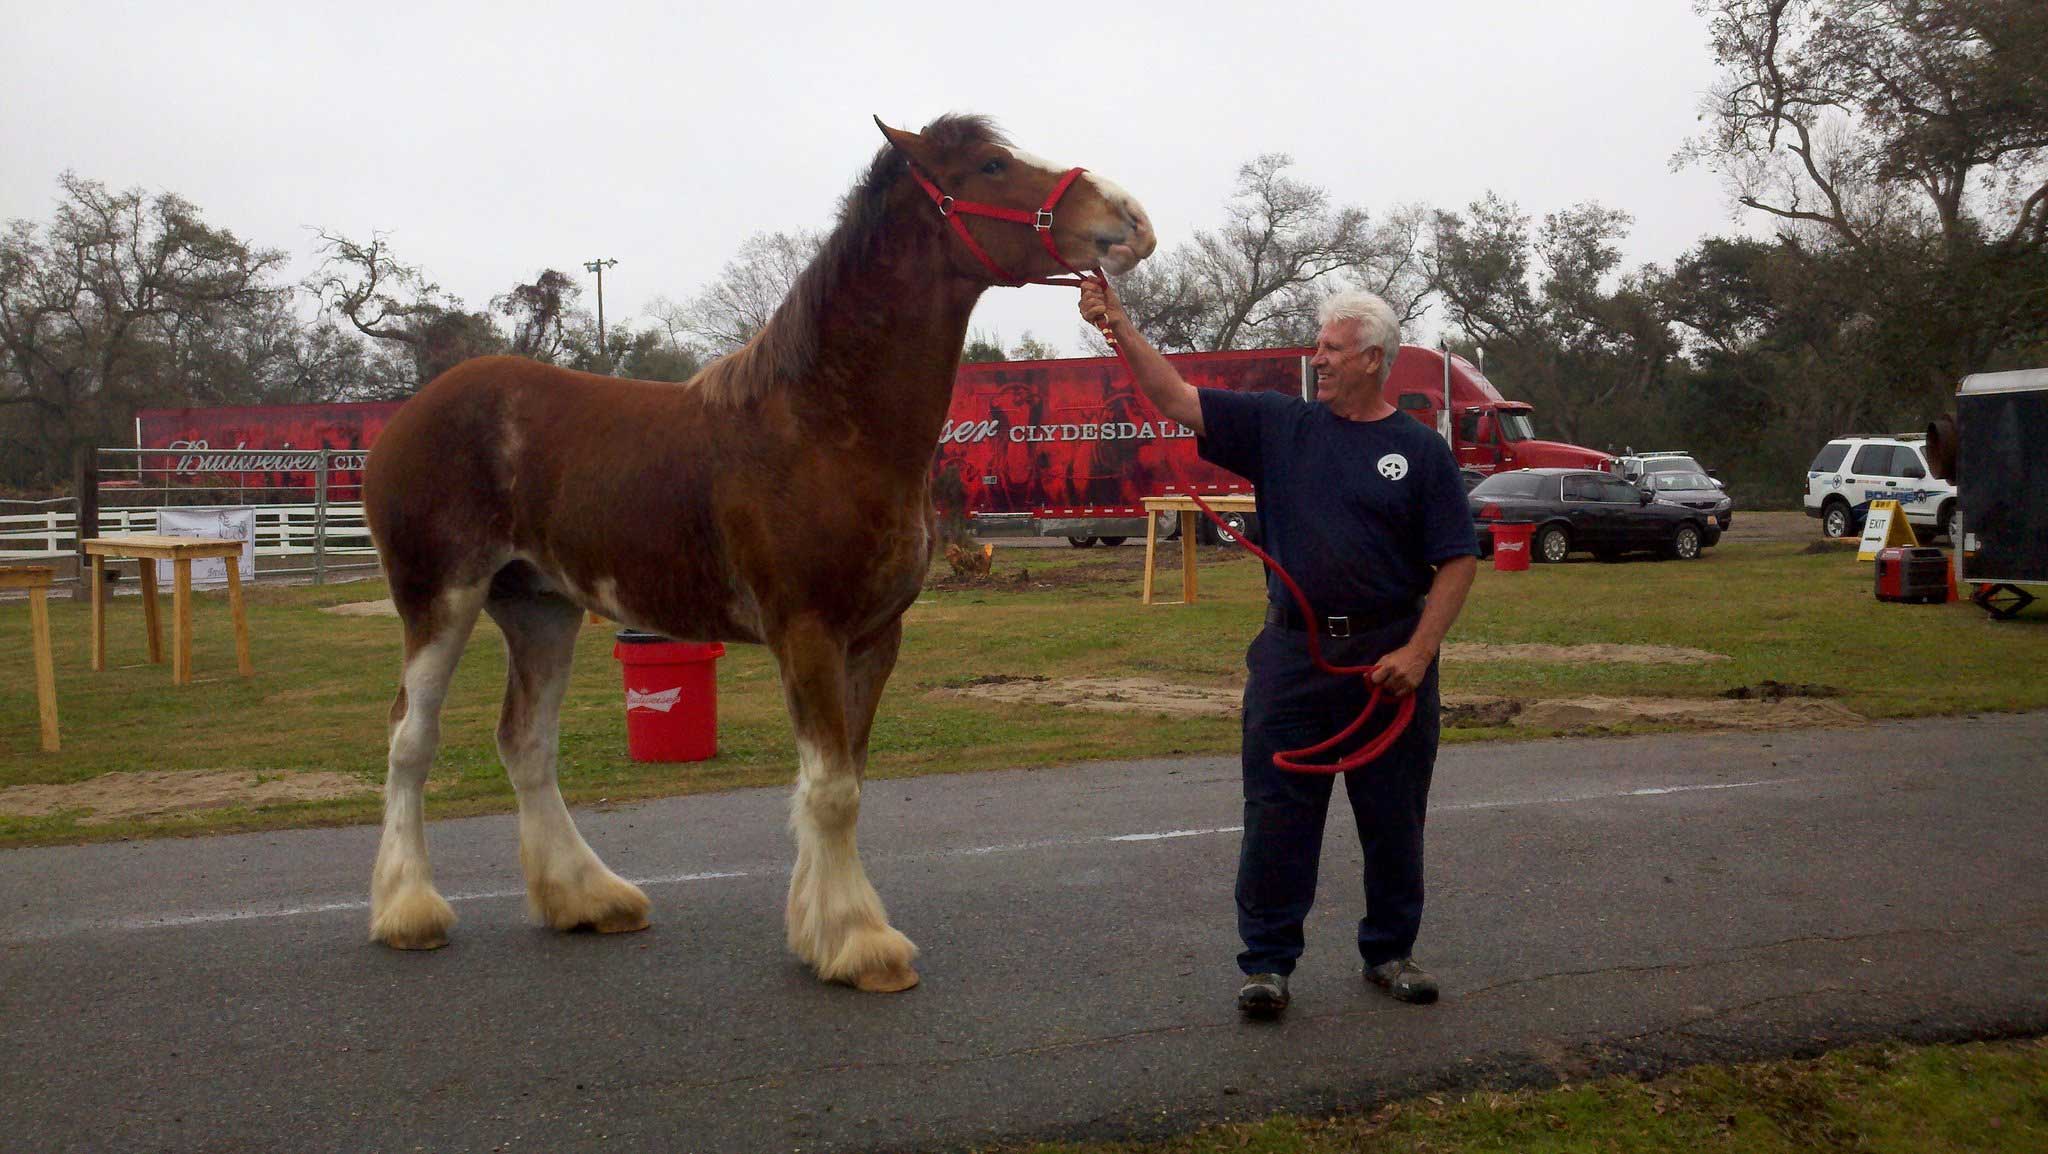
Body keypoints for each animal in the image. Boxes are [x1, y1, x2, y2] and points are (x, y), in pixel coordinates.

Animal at [361, 114, 1155, 992]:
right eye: (990, 165)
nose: (1130, 219)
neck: (824, 425)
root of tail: (411, 414)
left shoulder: (873, 637)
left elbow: (845, 777)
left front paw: (819, 929)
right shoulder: (805, 630)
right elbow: (833, 788)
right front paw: (860, 944)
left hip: (541, 607)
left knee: (526, 743)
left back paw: (587, 898)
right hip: (440, 598)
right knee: (410, 739)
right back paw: (410, 913)